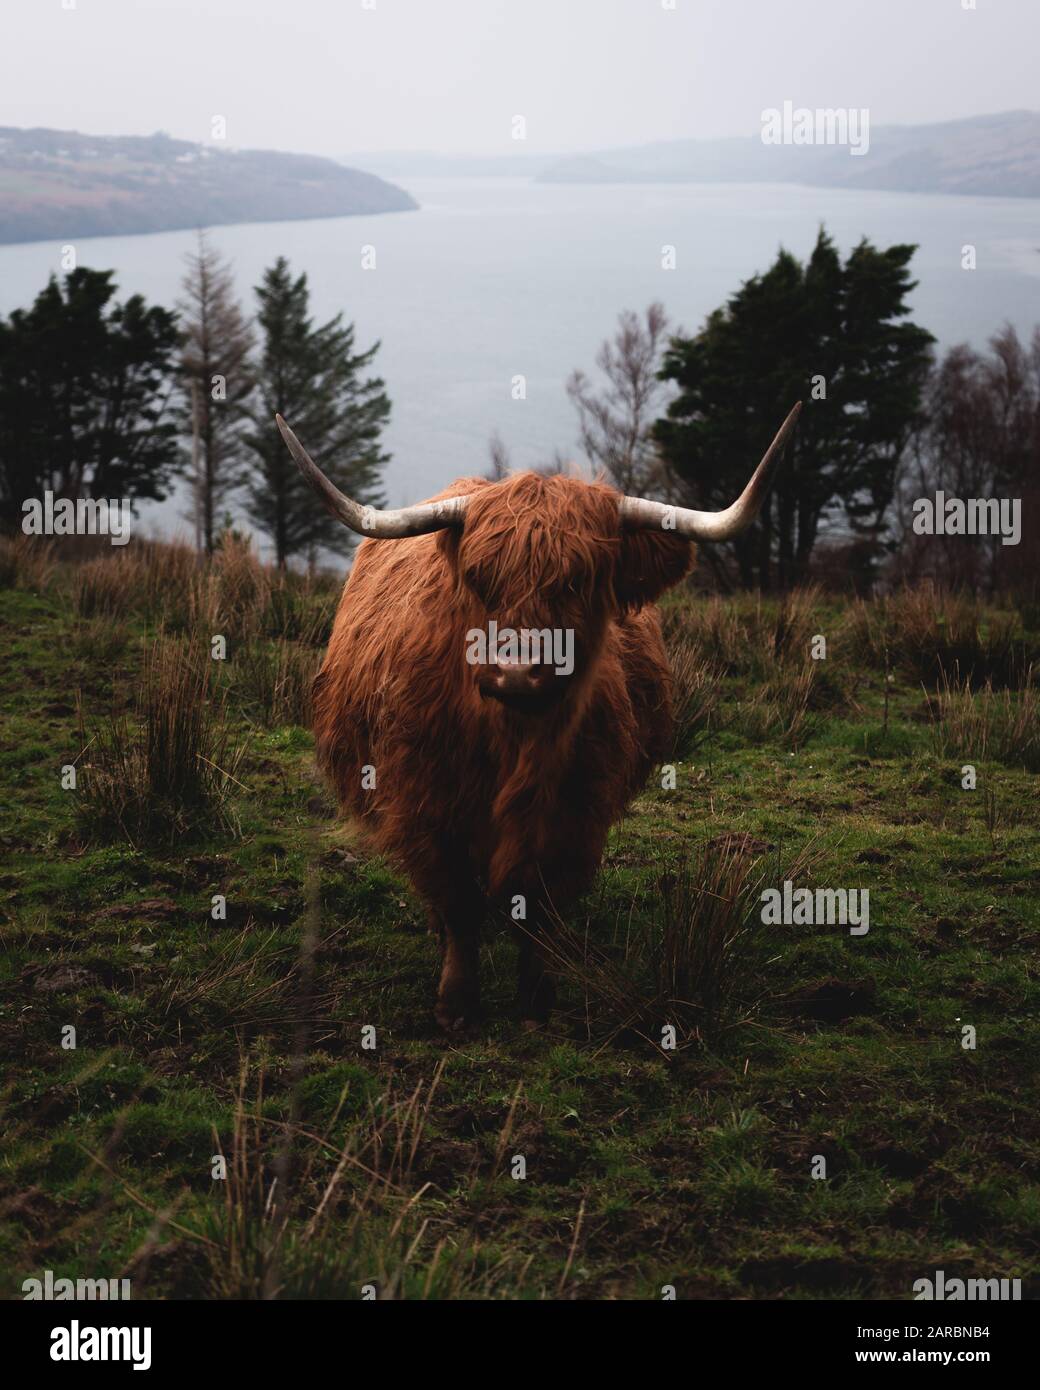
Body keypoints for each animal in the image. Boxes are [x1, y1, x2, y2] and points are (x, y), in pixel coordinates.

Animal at [276, 404, 801, 1033]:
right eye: (480, 579)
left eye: (577, 581)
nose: (517, 673)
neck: (515, 742)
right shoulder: (426, 805)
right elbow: (458, 904)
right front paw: (456, 1005)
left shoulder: (576, 814)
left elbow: (540, 909)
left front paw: (536, 1000)